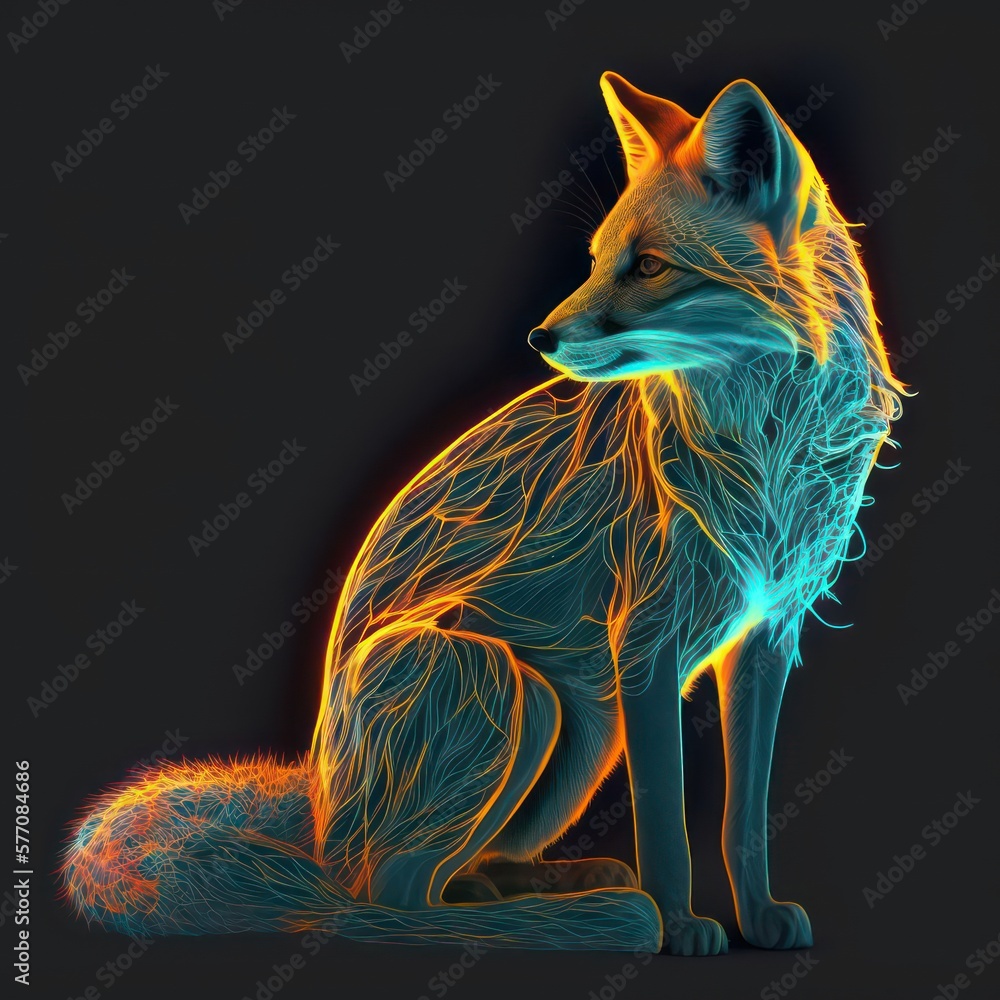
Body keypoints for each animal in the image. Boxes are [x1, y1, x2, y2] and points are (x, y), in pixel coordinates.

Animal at [61, 73, 903, 955]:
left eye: (648, 266)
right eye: (595, 261)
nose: (539, 338)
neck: (765, 451)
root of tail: (320, 795)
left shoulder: (766, 635)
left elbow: (744, 819)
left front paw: (759, 915)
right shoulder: (644, 641)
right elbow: (667, 825)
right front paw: (676, 923)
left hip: (584, 726)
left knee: (444, 877)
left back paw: (553, 888)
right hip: (510, 685)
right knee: (377, 902)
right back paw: (582, 919)